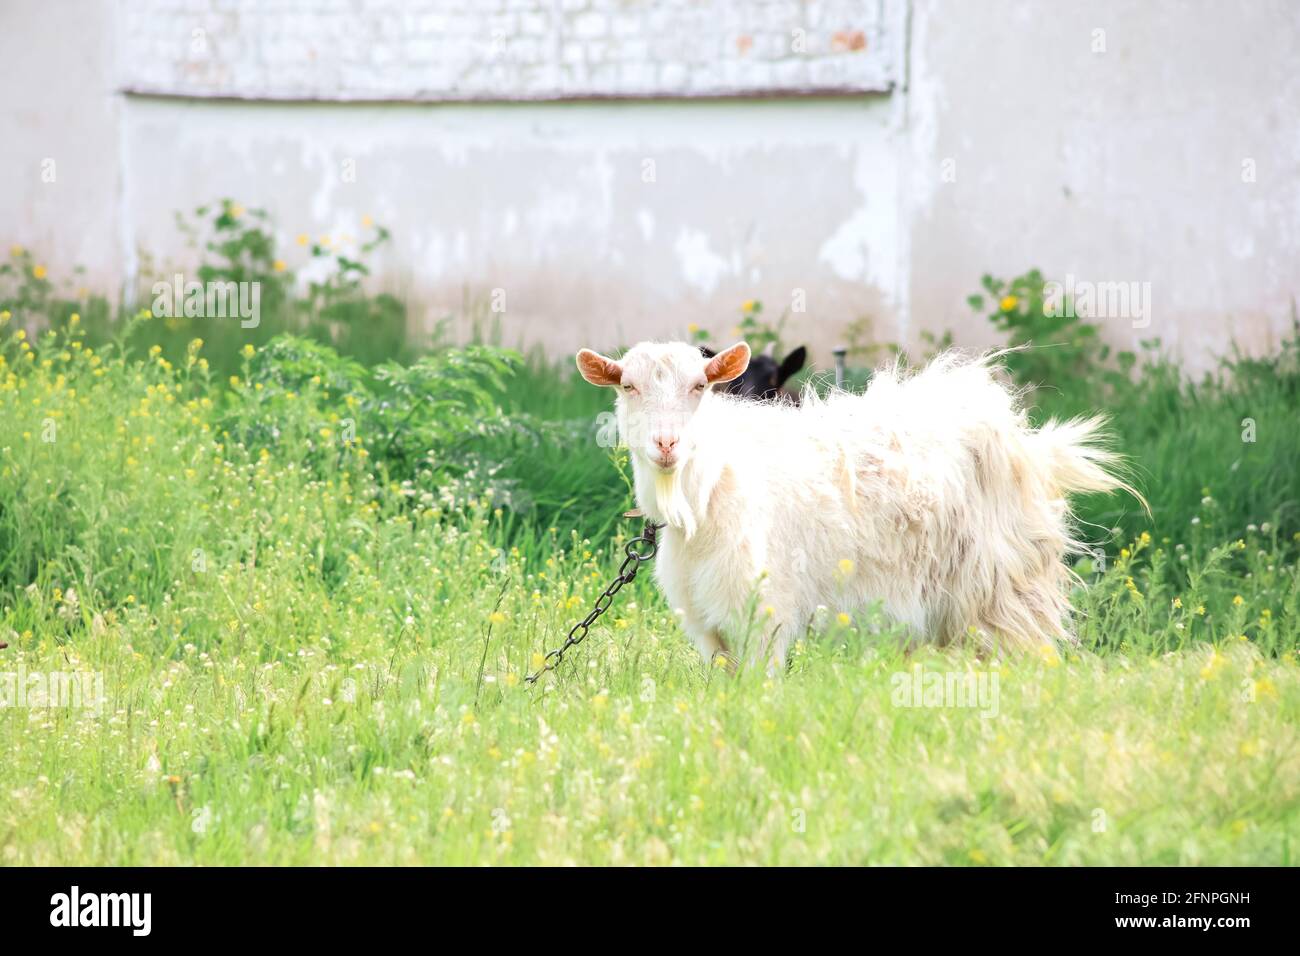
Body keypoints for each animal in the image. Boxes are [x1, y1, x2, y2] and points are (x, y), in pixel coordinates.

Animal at [576, 340, 1137, 668]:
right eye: (628, 386)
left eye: (700, 386)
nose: (666, 444)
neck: (710, 493)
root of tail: (1028, 445)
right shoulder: (711, 629)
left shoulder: (766, 615)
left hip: (1006, 595)